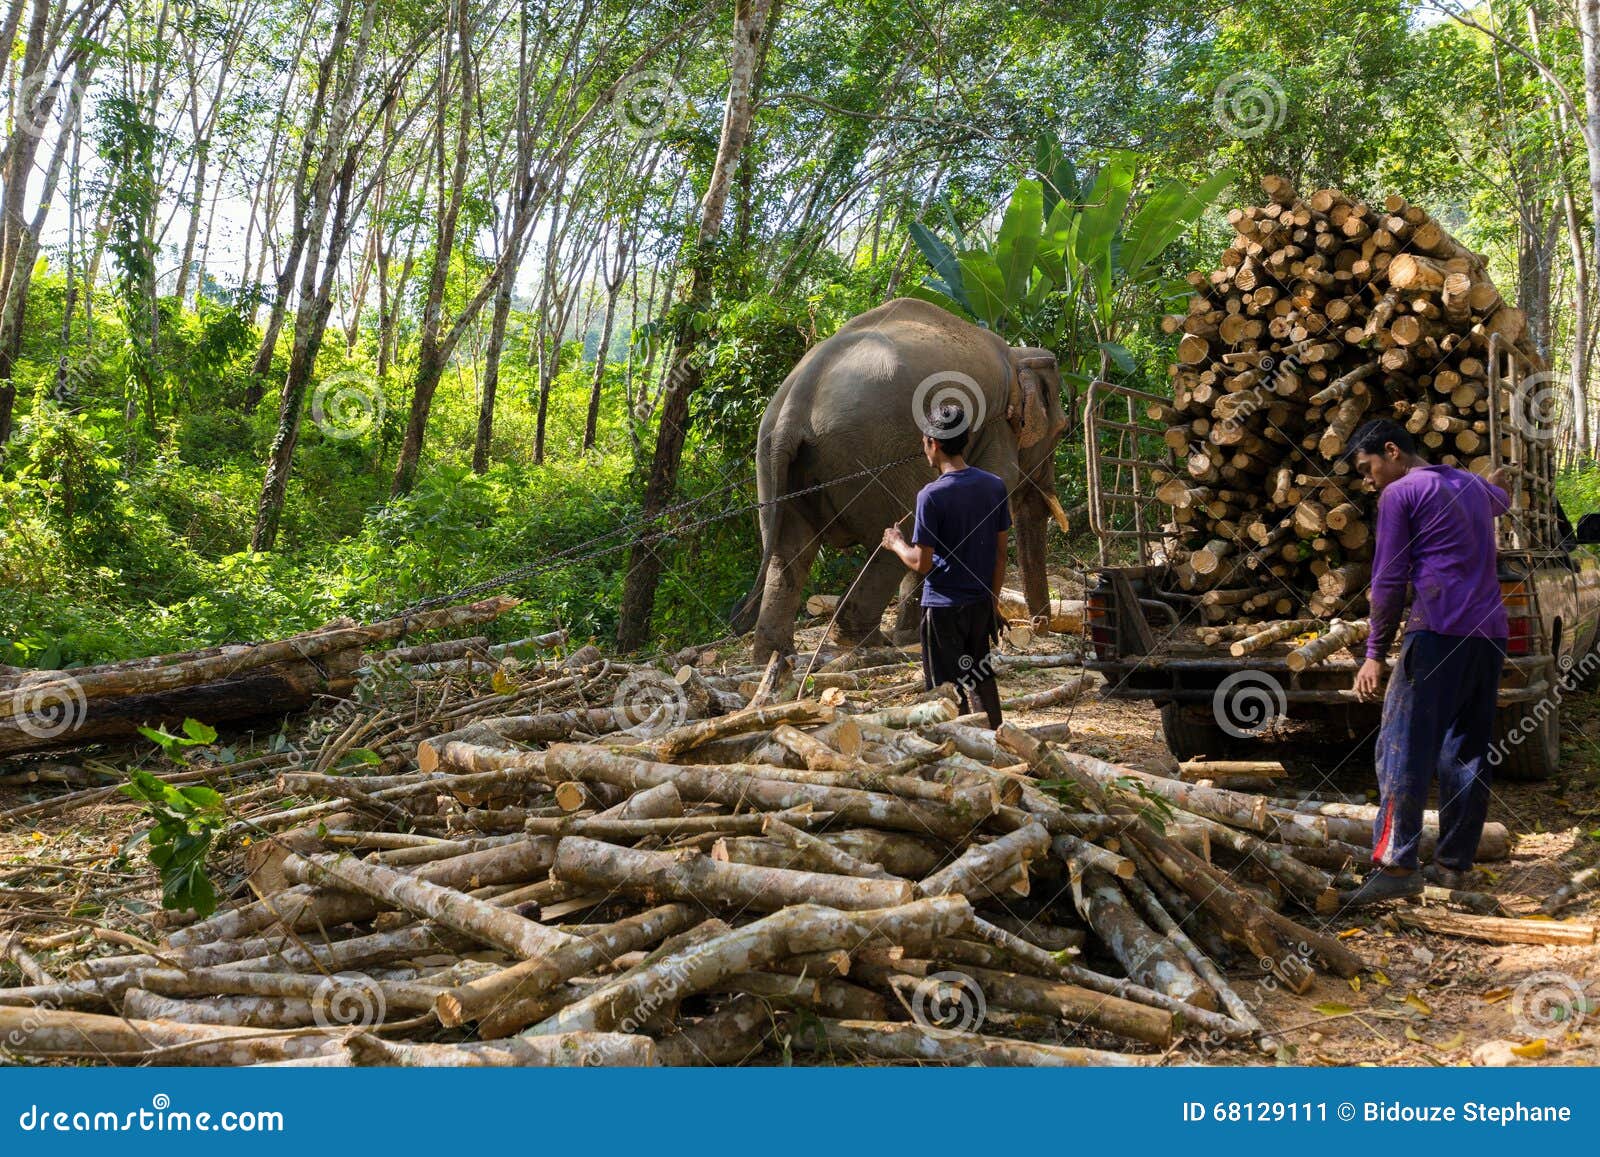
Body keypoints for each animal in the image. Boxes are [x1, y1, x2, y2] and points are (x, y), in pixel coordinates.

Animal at [730, 297, 1072, 663]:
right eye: (1061, 429)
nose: (1039, 626)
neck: (1017, 355)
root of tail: (796, 403)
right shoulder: (996, 432)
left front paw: (915, 634)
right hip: (873, 454)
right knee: (898, 533)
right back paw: (865, 642)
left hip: (771, 460)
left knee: (789, 552)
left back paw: (776, 656)